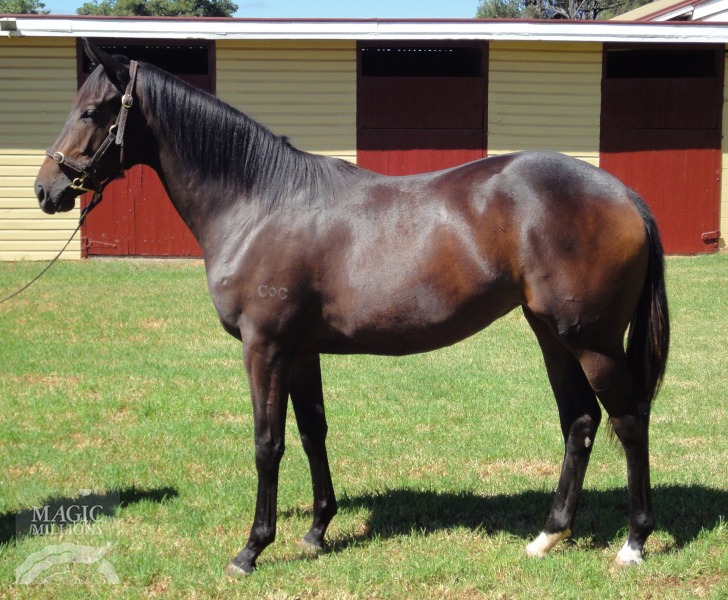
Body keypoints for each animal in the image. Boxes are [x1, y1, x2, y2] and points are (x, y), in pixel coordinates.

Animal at [35, 40, 669, 576]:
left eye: (91, 111)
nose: (46, 190)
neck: (259, 204)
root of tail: (625, 194)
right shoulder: (300, 351)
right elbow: (312, 432)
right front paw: (316, 531)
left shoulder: (265, 348)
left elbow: (268, 444)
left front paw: (251, 549)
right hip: (552, 334)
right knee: (580, 421)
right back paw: (549, 535)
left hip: (590, 340)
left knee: (628, 418)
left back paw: (634, 542)